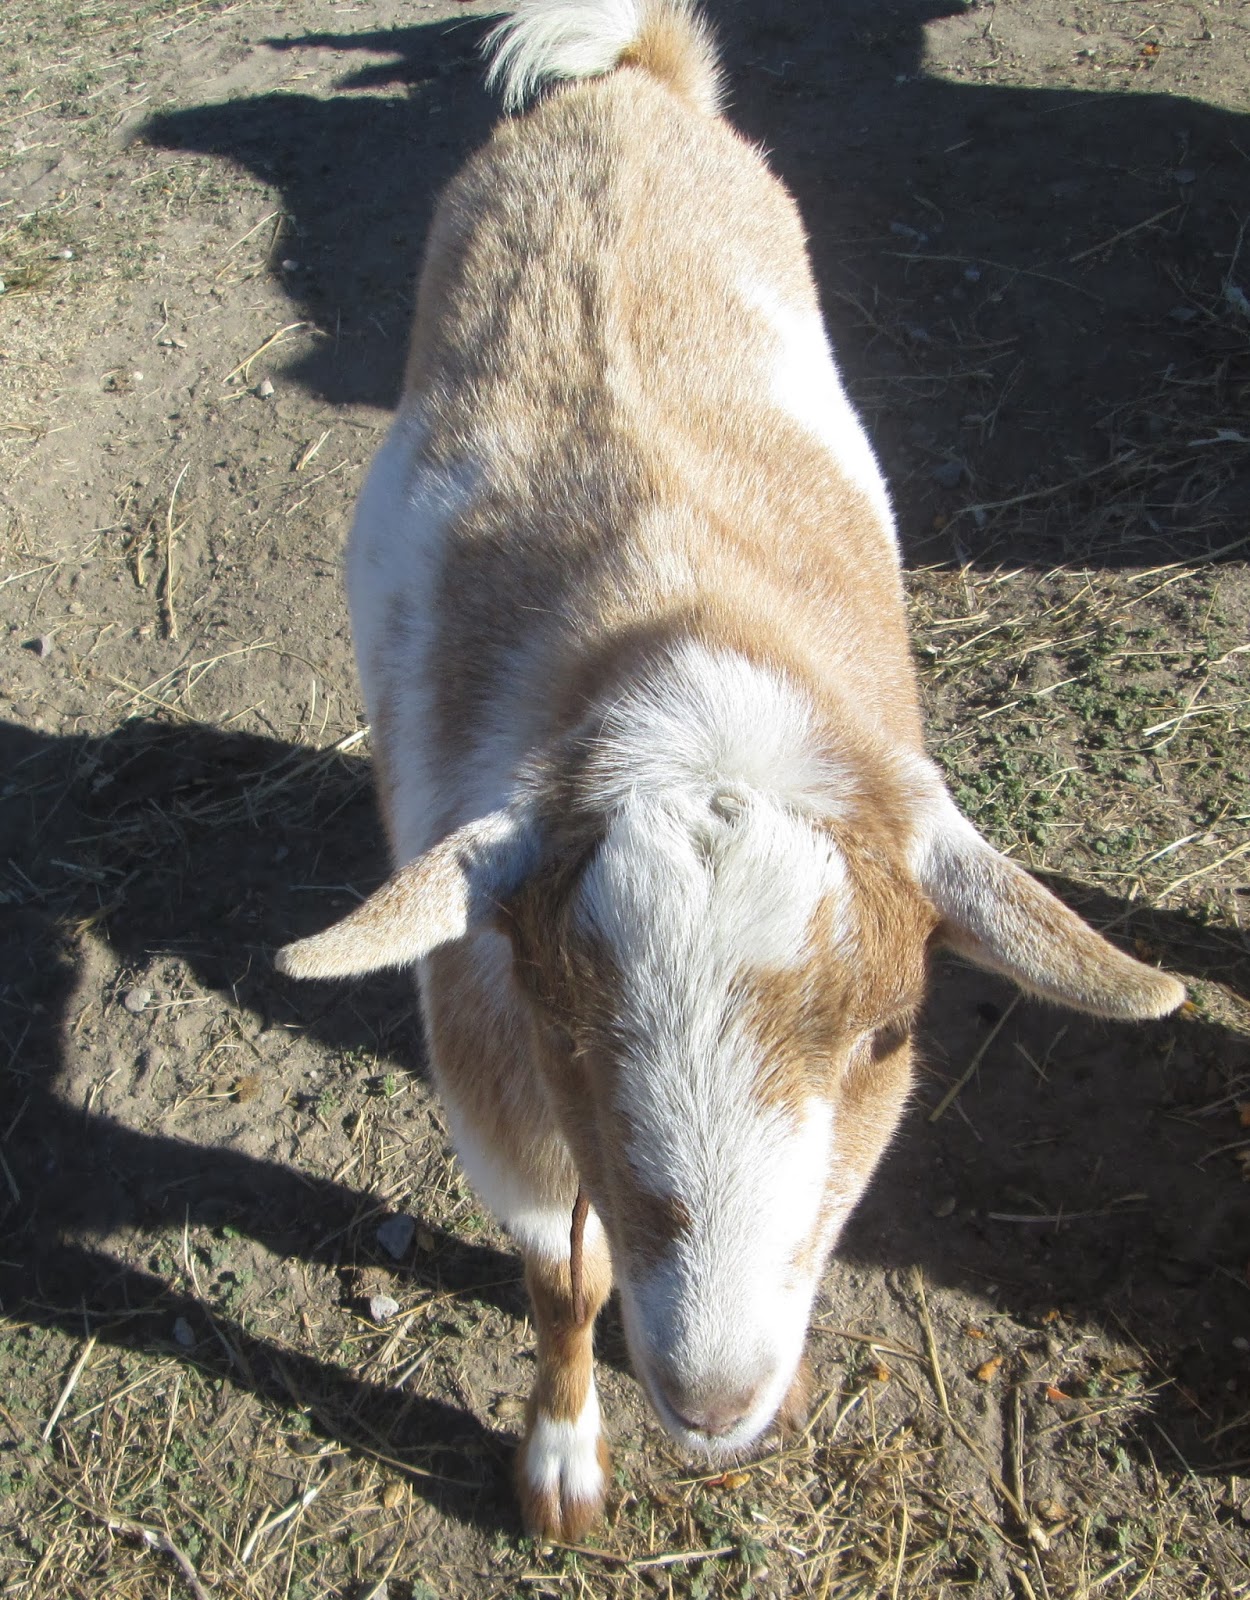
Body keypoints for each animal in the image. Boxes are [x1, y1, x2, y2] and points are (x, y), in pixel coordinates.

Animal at [277, 0, 1184, 1541]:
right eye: (569, 1029)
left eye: (888, 1032)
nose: (711, 1397)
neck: (683, 651)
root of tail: (629, 87)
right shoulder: (496, 1086)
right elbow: (561, 1277)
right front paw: (562, 1466)